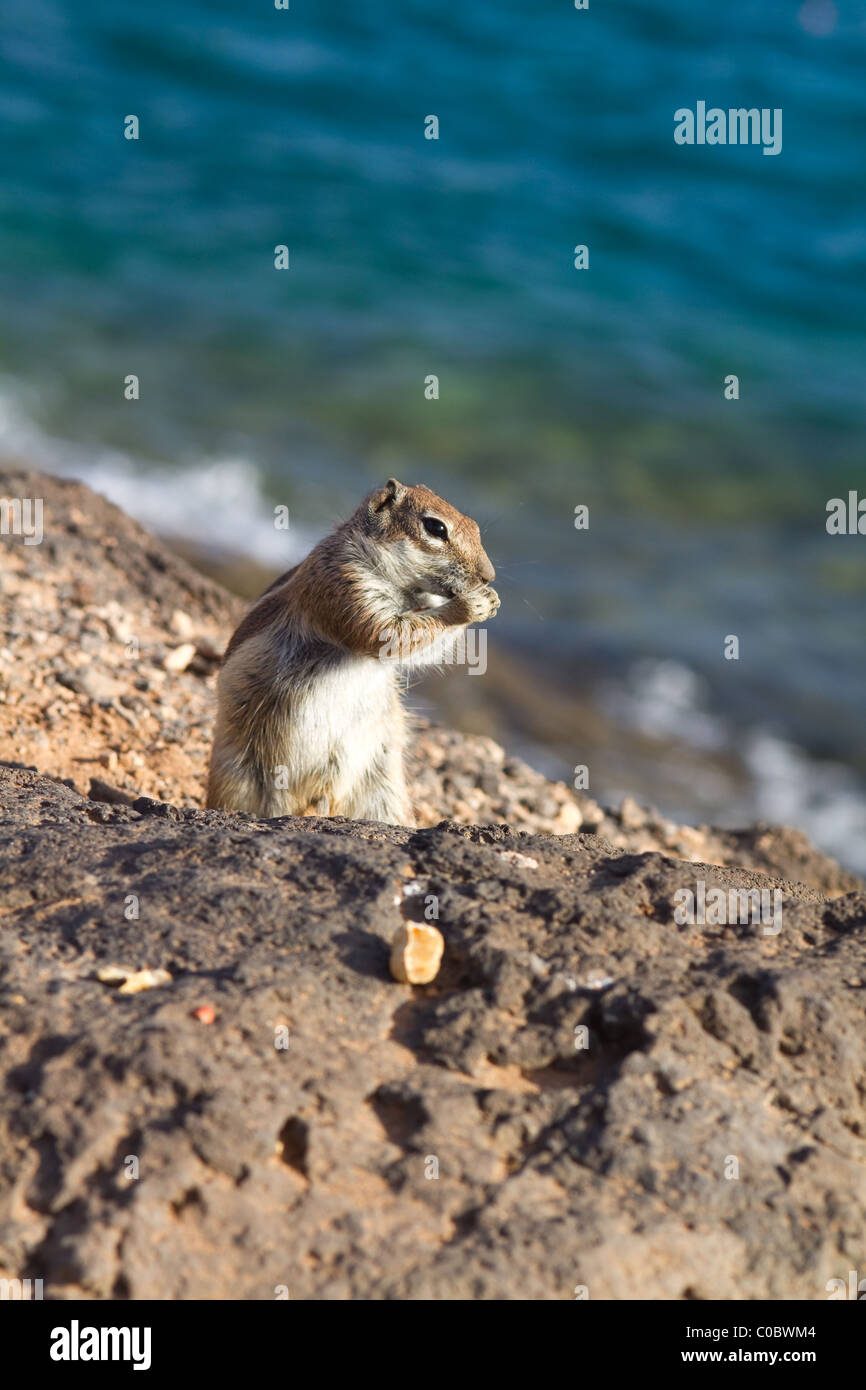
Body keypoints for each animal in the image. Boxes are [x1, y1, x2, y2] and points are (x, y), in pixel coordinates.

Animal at [206, 477, 499, 824]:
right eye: (436, 528)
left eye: (476, 527)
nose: (489, 576)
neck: (405, 588)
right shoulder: (344, 583)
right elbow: (387, 633)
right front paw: (473, 603)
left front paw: (491, 600)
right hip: (238, 775)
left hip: (383, 788)